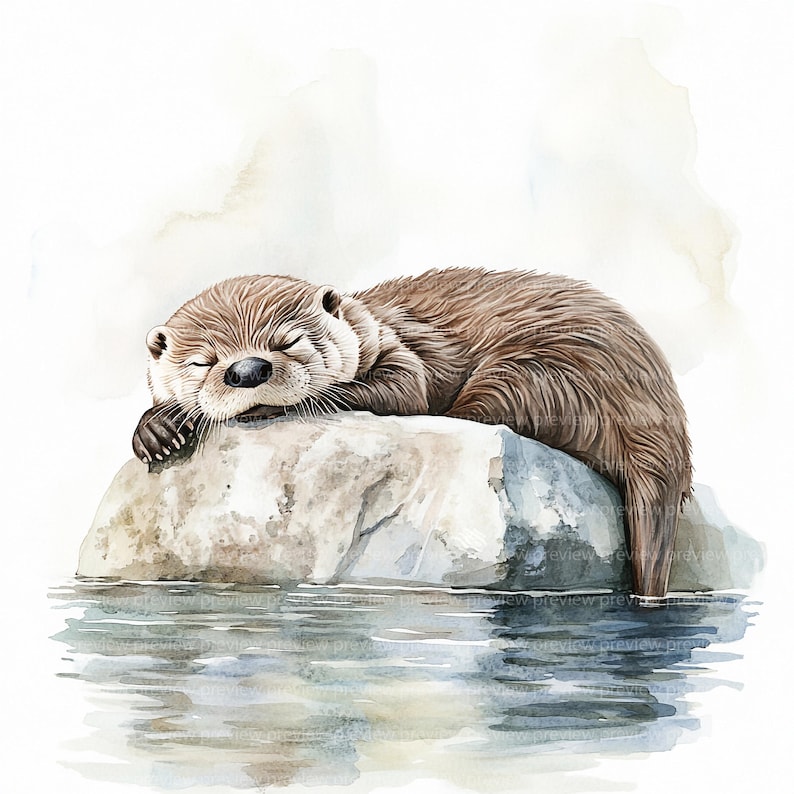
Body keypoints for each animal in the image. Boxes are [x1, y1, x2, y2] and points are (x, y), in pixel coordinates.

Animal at [133, 268, 691, 597]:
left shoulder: (402, 346)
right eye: (204, 361)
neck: (369, 320)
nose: (247, 370)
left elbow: (405, 390)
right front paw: (158, 429)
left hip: (542, 372)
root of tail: (663, 417)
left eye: (287, 342)